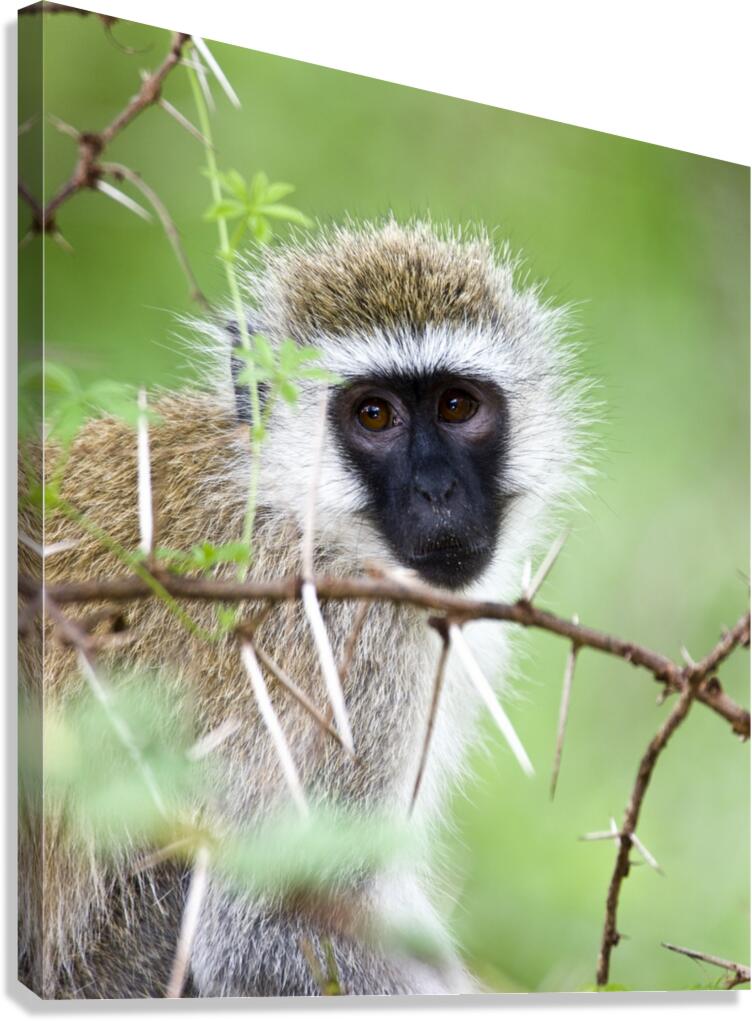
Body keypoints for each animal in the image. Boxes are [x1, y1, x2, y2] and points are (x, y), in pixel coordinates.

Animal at [18, 220, 586, 999]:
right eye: (373, 414)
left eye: (457, 405)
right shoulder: (342, 651)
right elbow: (263, 929)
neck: (295, 504)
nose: (437, 491)